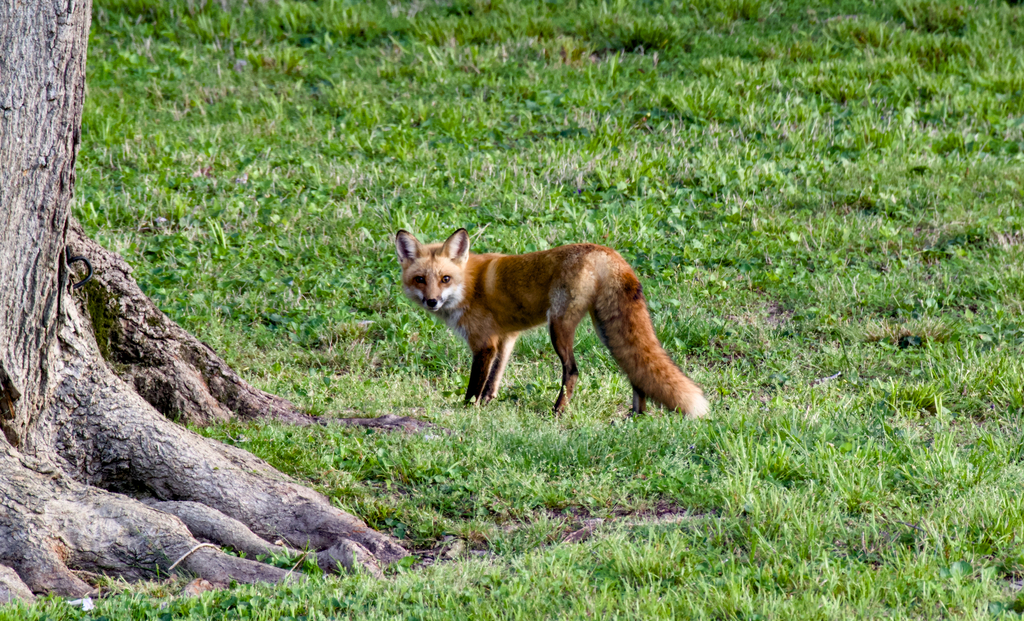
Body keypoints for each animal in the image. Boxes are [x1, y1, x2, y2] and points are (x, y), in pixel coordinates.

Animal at [394, 228, 709, 417]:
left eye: (445, 279)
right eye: (420, 279)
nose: (432, 301)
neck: (468, 286)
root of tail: (607, 252)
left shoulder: (484, 344)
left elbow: (475, 386)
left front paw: (468, 411)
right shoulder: (506, 338)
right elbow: (494, 380)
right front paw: (487, 404)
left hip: (558, 327)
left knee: (572, 371)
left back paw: (558, 411)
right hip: (606, 330)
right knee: (635, 370)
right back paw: (636, 415)